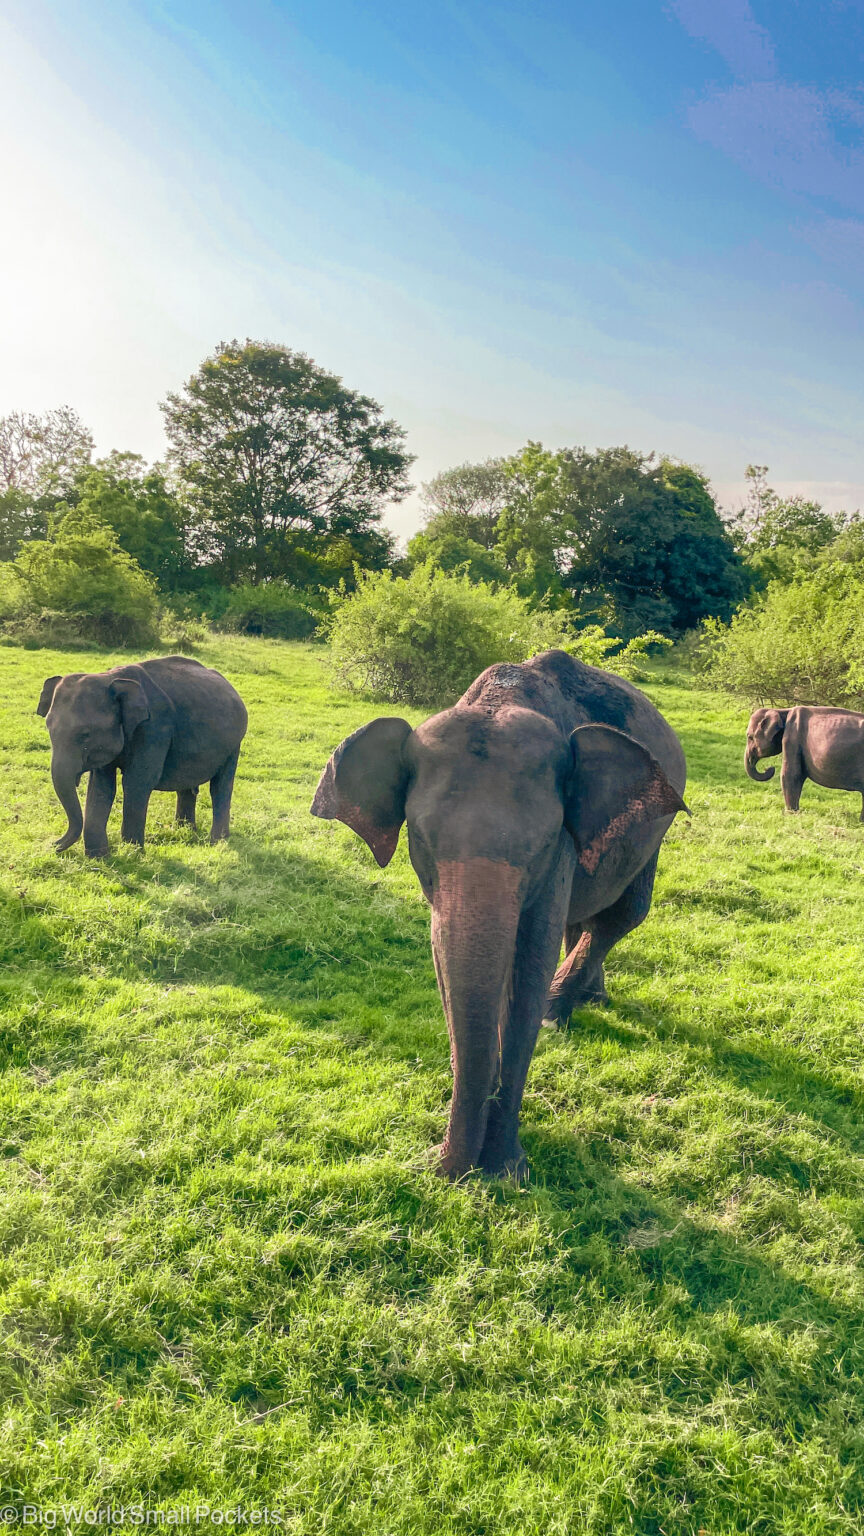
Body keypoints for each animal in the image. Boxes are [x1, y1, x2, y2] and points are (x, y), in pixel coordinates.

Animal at [37, 656, 248, 857]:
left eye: (85, 734)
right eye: (48, 728)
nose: (52, 845)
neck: (110, 678)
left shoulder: (154, 729)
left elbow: (136, 782)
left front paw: (132, 853)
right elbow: (101, 786)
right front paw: (100, 857)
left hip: (234, 743)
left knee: (220, 786)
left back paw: (217, 841)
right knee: (187, 786)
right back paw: (184, 831)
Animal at [311, 649, 687, 1182]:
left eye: (543, 843)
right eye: (420, 840)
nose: (450, 1170)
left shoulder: (565, 848)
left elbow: (532, 958)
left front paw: (507, 1168)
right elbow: (445, 958)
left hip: (655, 826)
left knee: (622, 915)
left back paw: (558, 1013)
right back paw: (587, 1002)